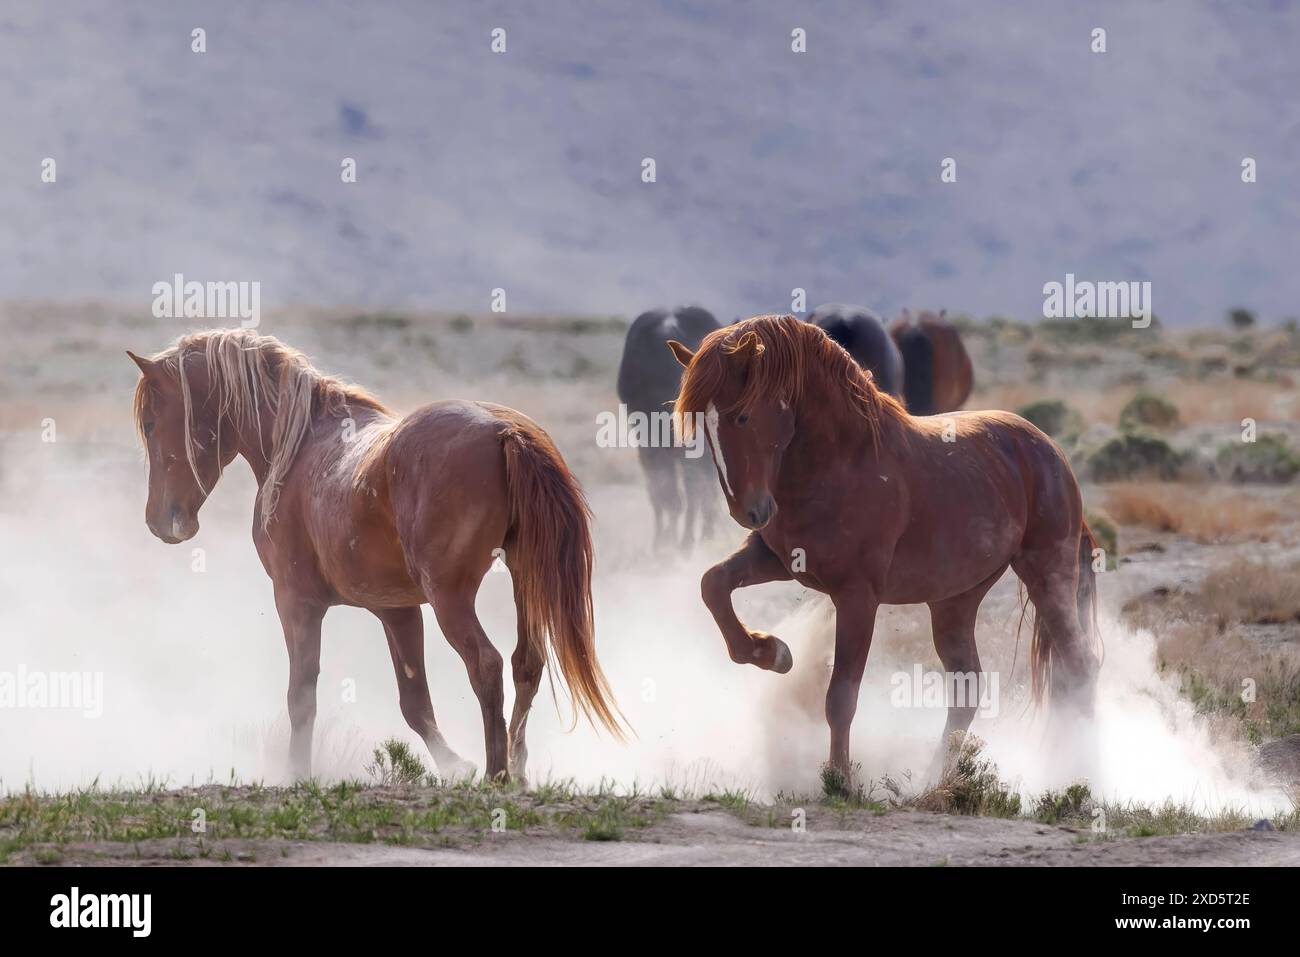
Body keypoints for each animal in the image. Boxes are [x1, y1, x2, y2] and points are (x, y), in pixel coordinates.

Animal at [128, 329, 624, 782]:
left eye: (151, 423)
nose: (159, 521)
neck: (297, 446)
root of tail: (504, 430)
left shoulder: (296, 602)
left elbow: (301, 695)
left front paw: (296, 774)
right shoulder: (396, 609)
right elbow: (414, 704)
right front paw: (454, 766)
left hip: (451, 597)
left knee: (486, 664)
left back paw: (496, 773)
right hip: (523, 578)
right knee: (526, 663)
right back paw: (516, 769)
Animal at [667, 315, 1098, 779]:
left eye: (742, 415)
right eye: (703, 425)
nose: (749, 512)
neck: (841, 461)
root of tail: (1053, 454)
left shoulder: (858, 597)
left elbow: (840, 699)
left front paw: (839, 780)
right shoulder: (777, 560)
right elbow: (713, 585)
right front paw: (772, 652)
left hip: (1047, 575)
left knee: (1079, 668)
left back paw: (1082, 774)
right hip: (955, 601)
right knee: (967, 687)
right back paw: (932, 782)